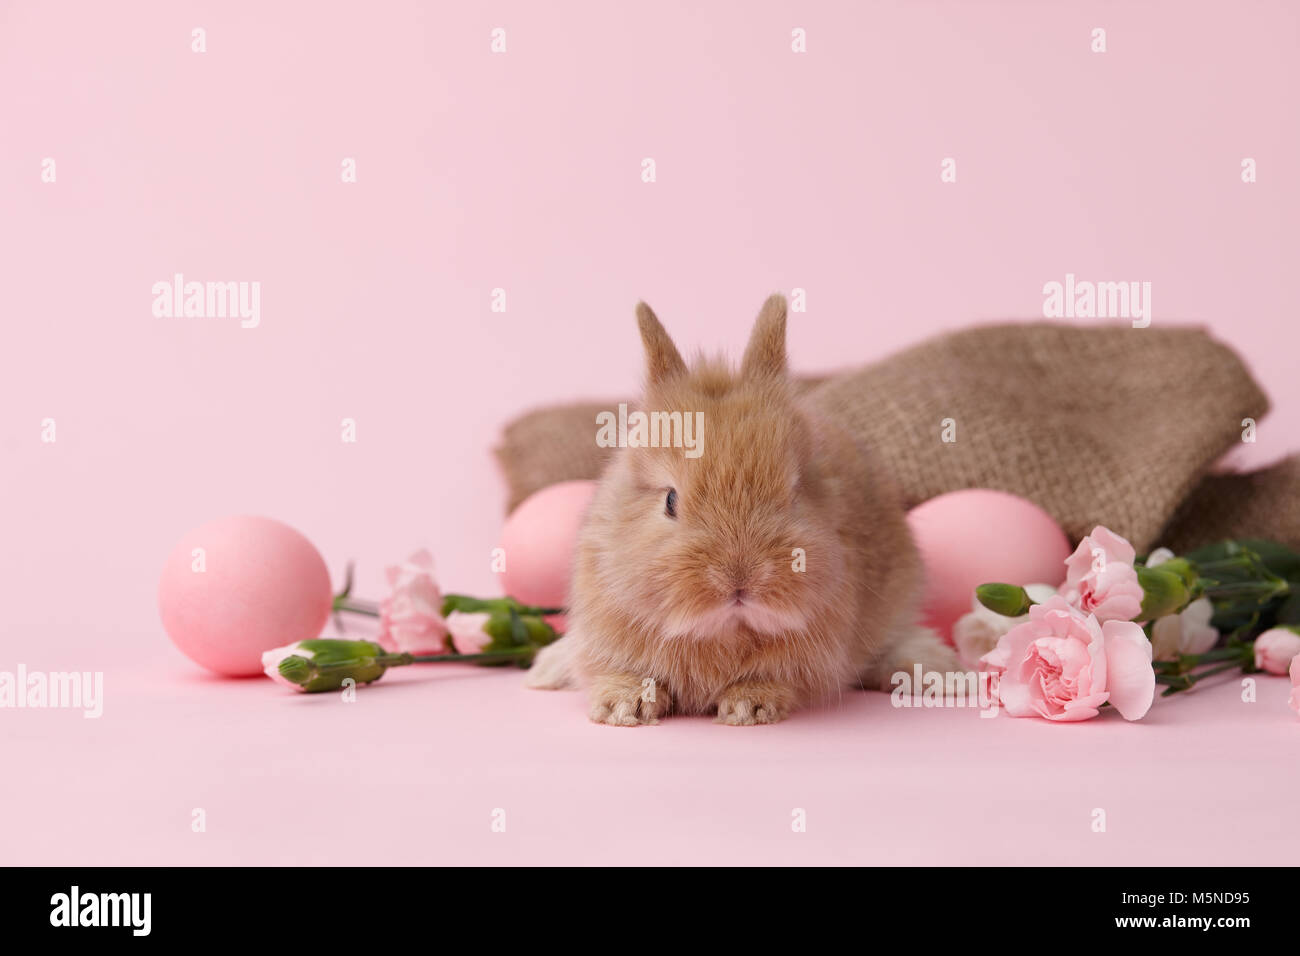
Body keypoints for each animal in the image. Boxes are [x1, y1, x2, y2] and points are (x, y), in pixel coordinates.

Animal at [525, 294, 959, 725]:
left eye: (794, 493)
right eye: (670, 500)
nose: (740, 578)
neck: (722, 632)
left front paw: (747, 706)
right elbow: (620, 672)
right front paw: (622, 707)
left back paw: (944, 675)